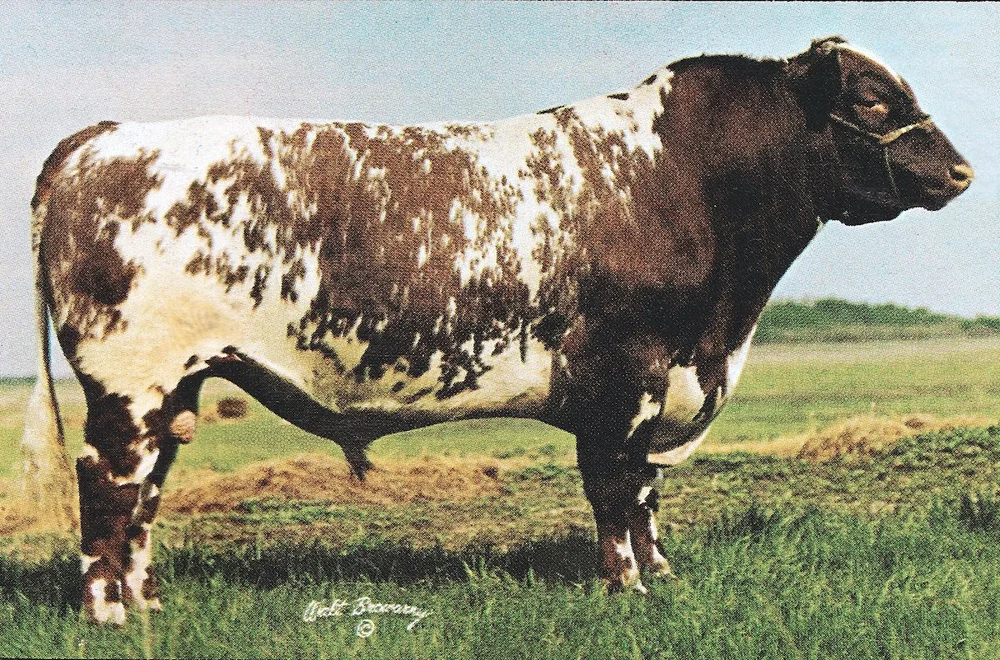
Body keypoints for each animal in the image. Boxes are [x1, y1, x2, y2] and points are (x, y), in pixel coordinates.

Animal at [21, 36, 972, 624]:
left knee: (146, 492)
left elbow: (647, 492)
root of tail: (104, 137)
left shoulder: (666, 377)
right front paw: (625, 588)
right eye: (875, 97)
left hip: (177, 383)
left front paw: (662, 574)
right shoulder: (622, 376)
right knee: (107, 483)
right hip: (130, 380)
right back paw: (107, 613)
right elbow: (614, 489)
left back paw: (148, 602)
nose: (962, 170)